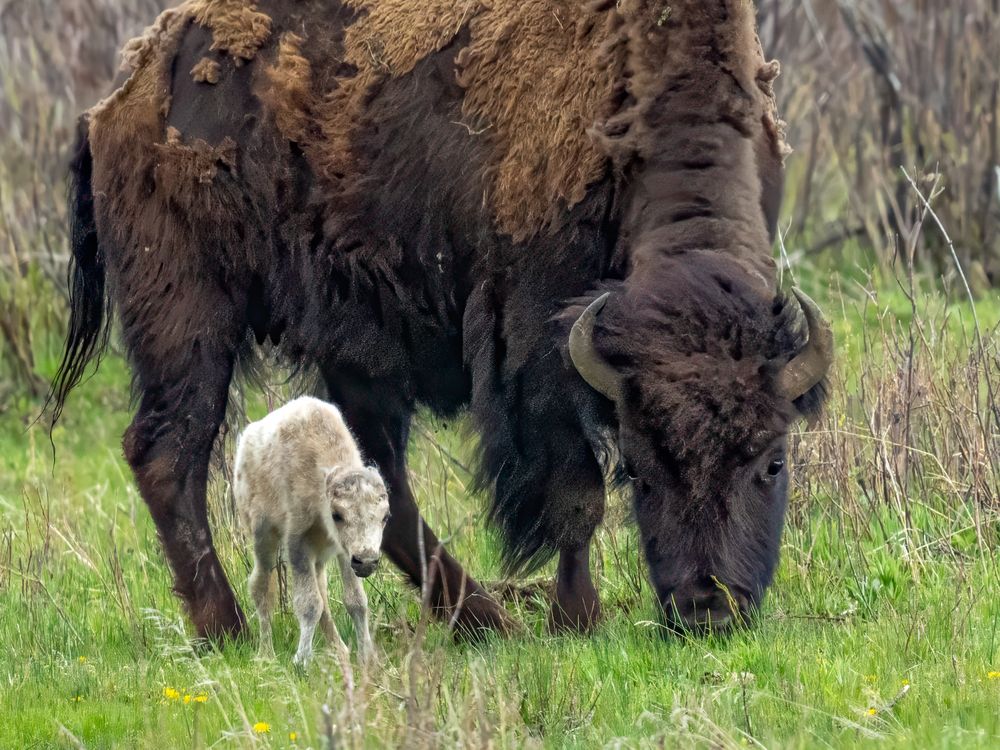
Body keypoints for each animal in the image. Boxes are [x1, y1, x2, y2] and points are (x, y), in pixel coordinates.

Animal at [49, 0, 833, 642]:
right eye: (638, 469)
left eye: (774, 460)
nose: (708, 608)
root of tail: (121, 97)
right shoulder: (539, 344)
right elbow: (576, 494)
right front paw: (577, 619)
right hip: (190, 319)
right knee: (167, 453)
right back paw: (229, 628)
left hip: (349, 347)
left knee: (375, 479)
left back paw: (479, 618)